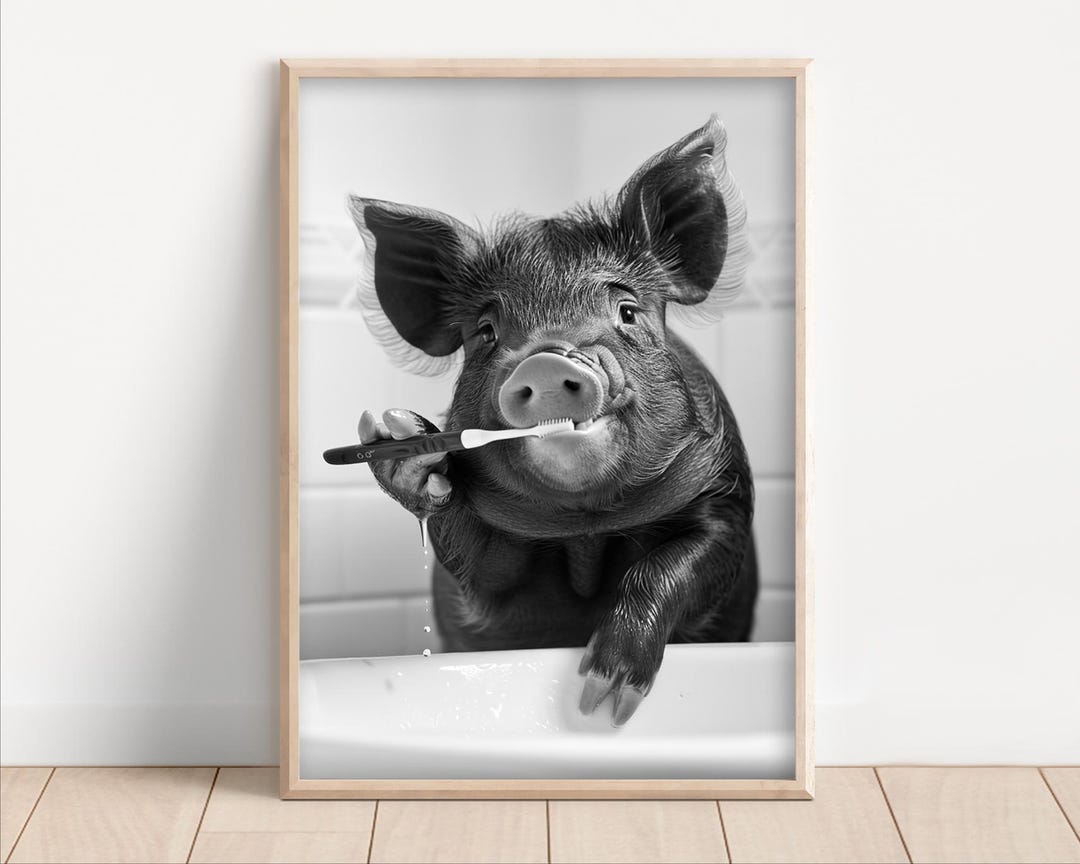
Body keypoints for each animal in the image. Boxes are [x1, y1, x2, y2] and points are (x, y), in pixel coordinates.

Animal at [348, 116, 757, 725]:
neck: (584, 525)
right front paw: (403, 439)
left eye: (627, 311)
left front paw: (602, 700)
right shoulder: (485, 579)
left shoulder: (726, 495)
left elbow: (681, 561)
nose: (546, 359)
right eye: (486, 332)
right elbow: (475, 563)